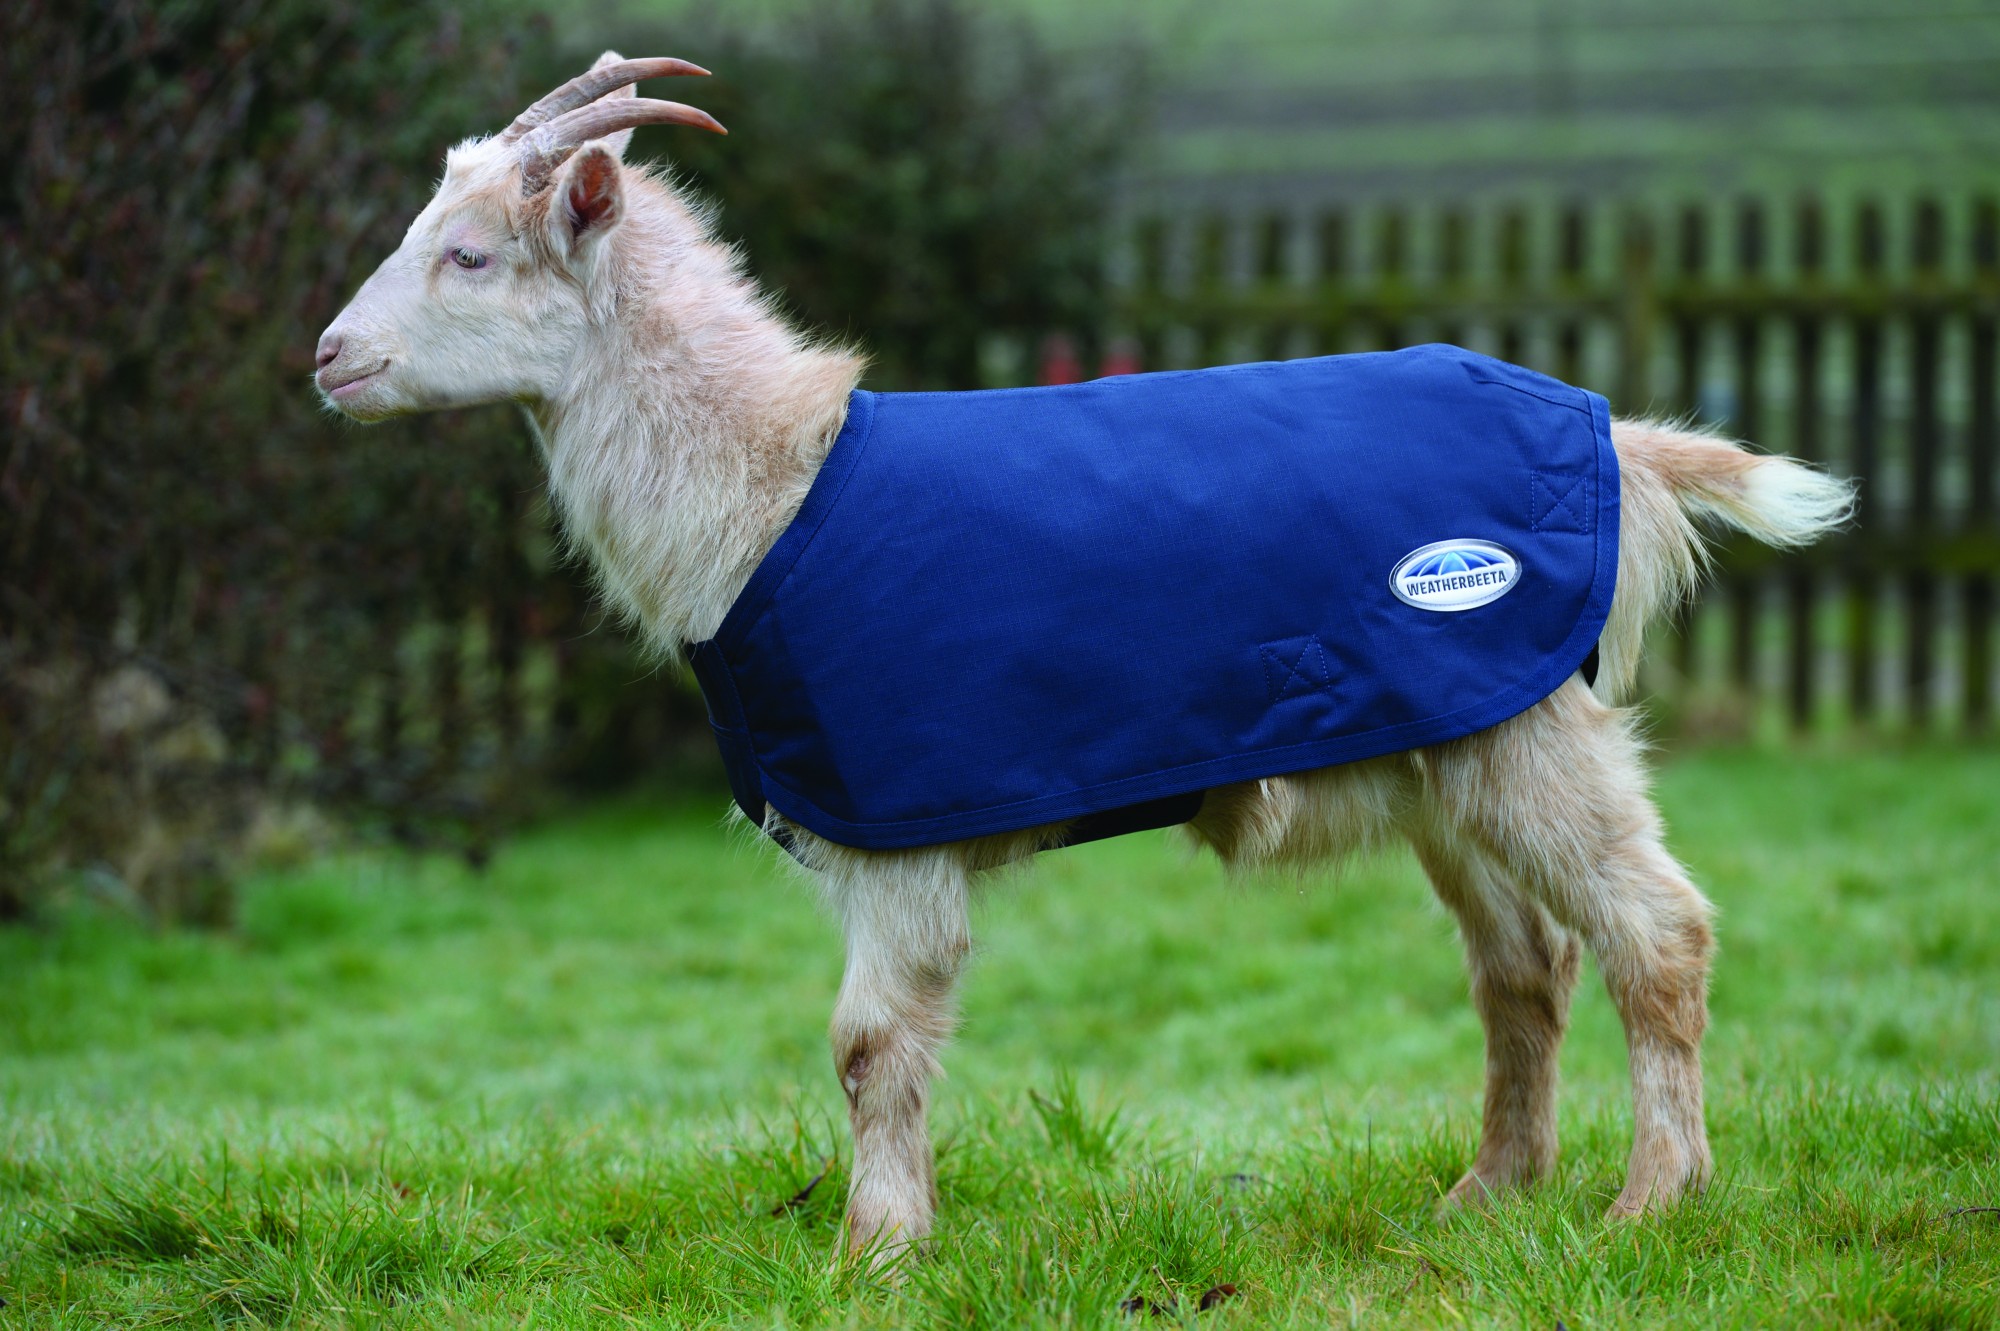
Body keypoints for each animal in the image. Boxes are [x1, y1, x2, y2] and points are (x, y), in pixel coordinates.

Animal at [316, 54, 1854, 1261]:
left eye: (470, 254)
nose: (330, 358)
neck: (771, 491)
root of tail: (1615, 439)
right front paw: (891, 1238)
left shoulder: (898, 825)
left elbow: (868, 1043)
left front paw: (874, 1252)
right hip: (1447, 735)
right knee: (1525, 964)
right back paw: (1487, 1194)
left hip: (1528, 728)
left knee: (1657, 931)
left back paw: (1651, 1201)